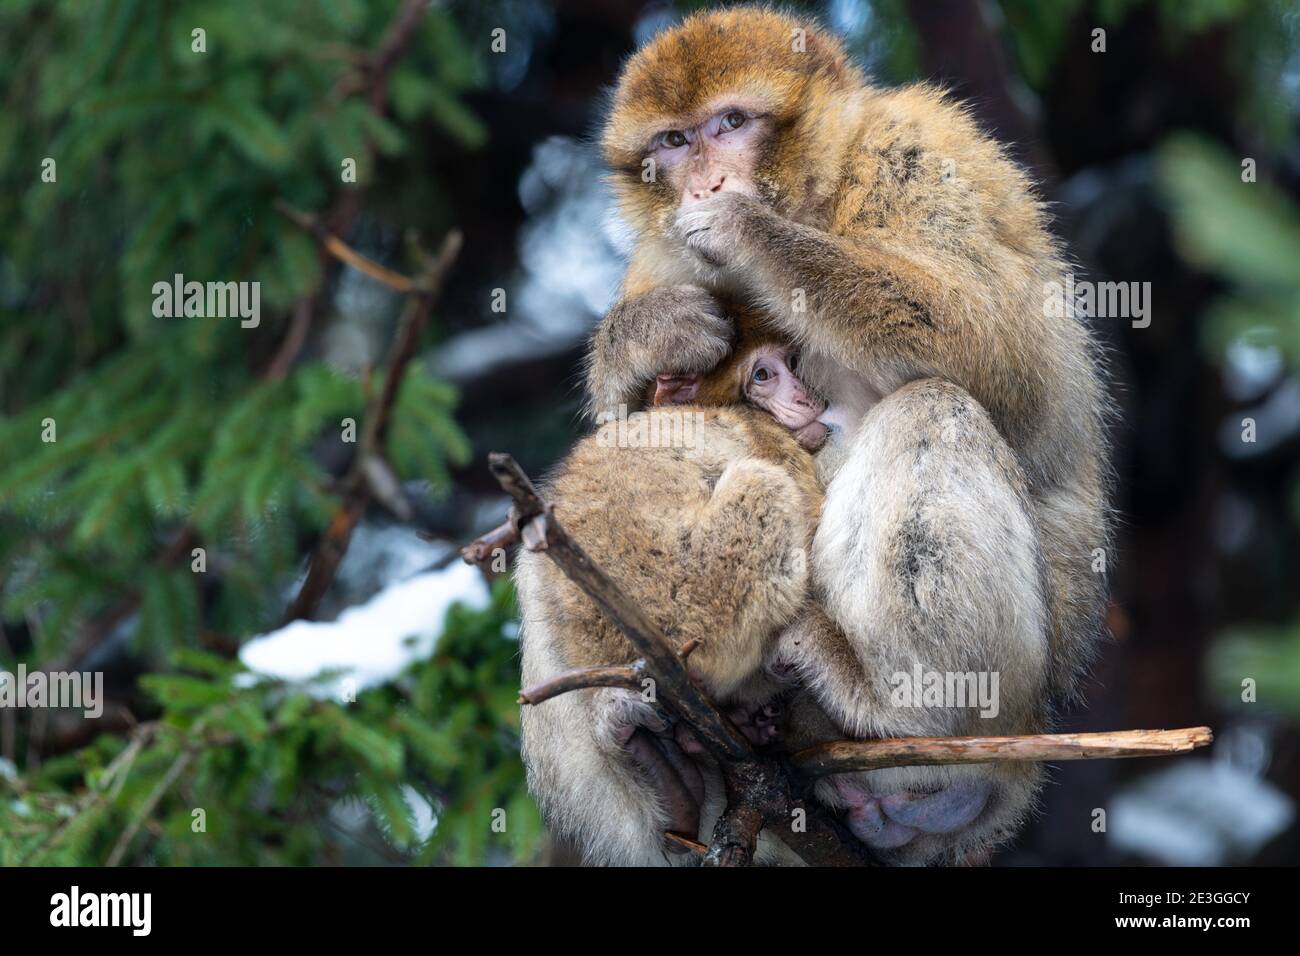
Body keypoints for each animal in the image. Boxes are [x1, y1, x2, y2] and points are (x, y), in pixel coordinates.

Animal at [585, 7, 1111, 864]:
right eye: (673, 140)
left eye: (730, 124)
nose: (701, 180)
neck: (816, 195)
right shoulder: (660, 258)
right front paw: (646, 337)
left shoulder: (920, 151)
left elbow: (1002, 357)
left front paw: (746, 230)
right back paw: (671, 774)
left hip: (1018, 690)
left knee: (932, 405)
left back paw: (901, 704)